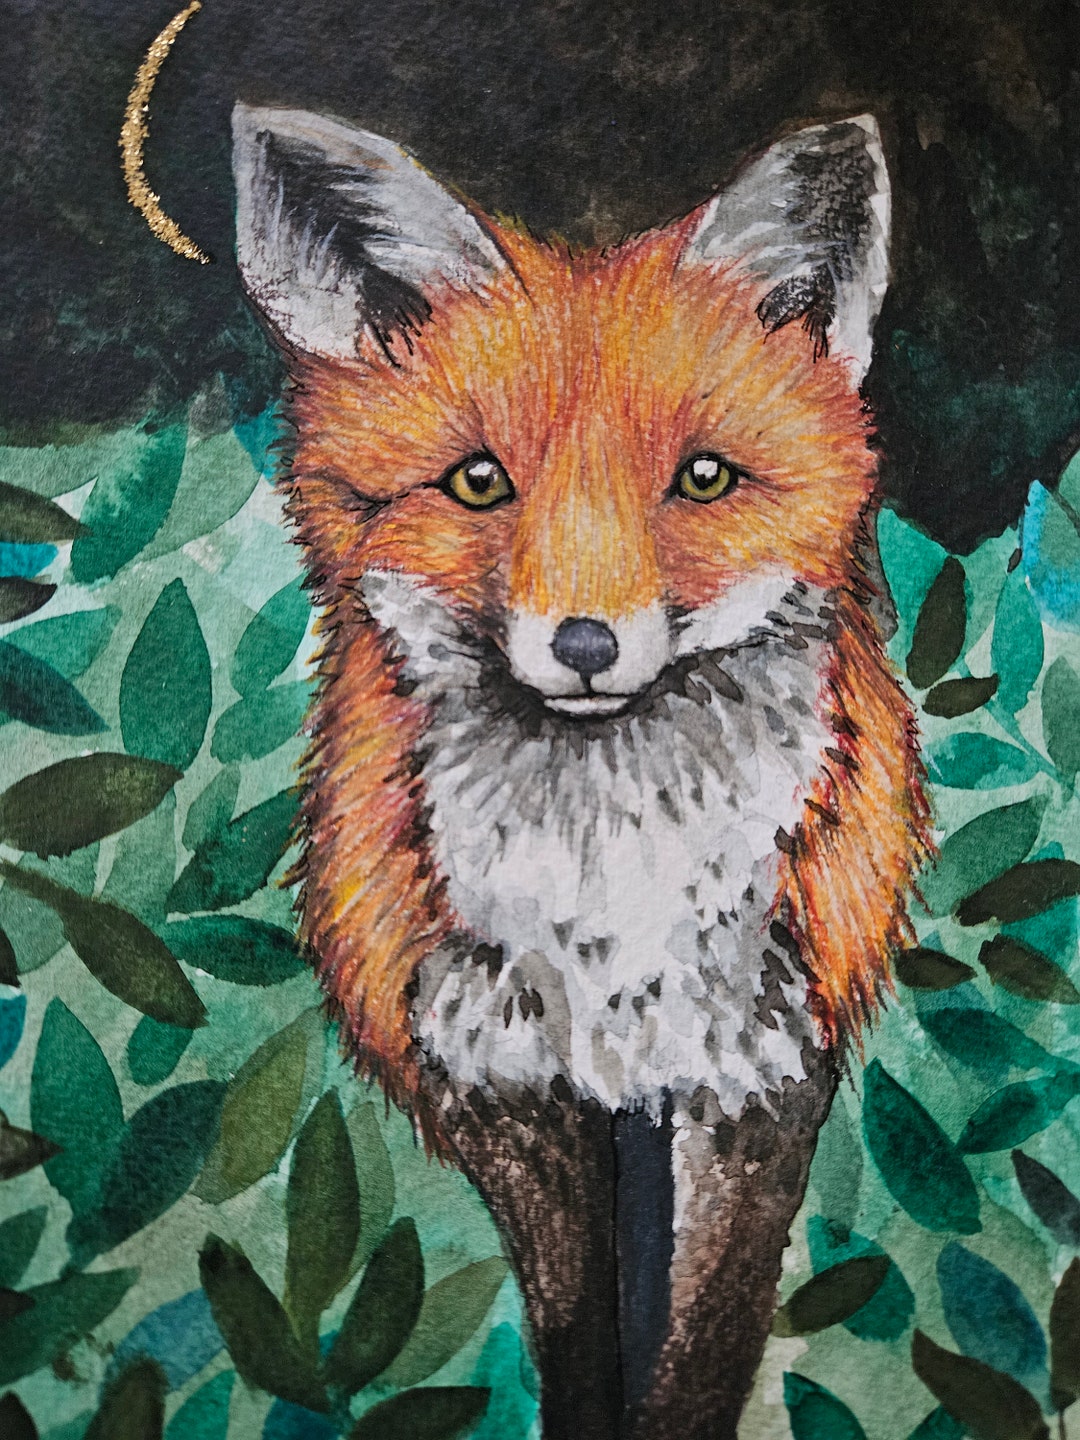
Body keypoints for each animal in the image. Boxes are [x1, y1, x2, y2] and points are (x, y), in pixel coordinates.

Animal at [231, 103, 930, 1440]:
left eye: (703, 479)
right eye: (479, 482)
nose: (588, 647)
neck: (612, 901)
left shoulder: (757, 1073)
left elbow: (693, 1360)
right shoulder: (505, 1089)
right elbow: (585, 1355)